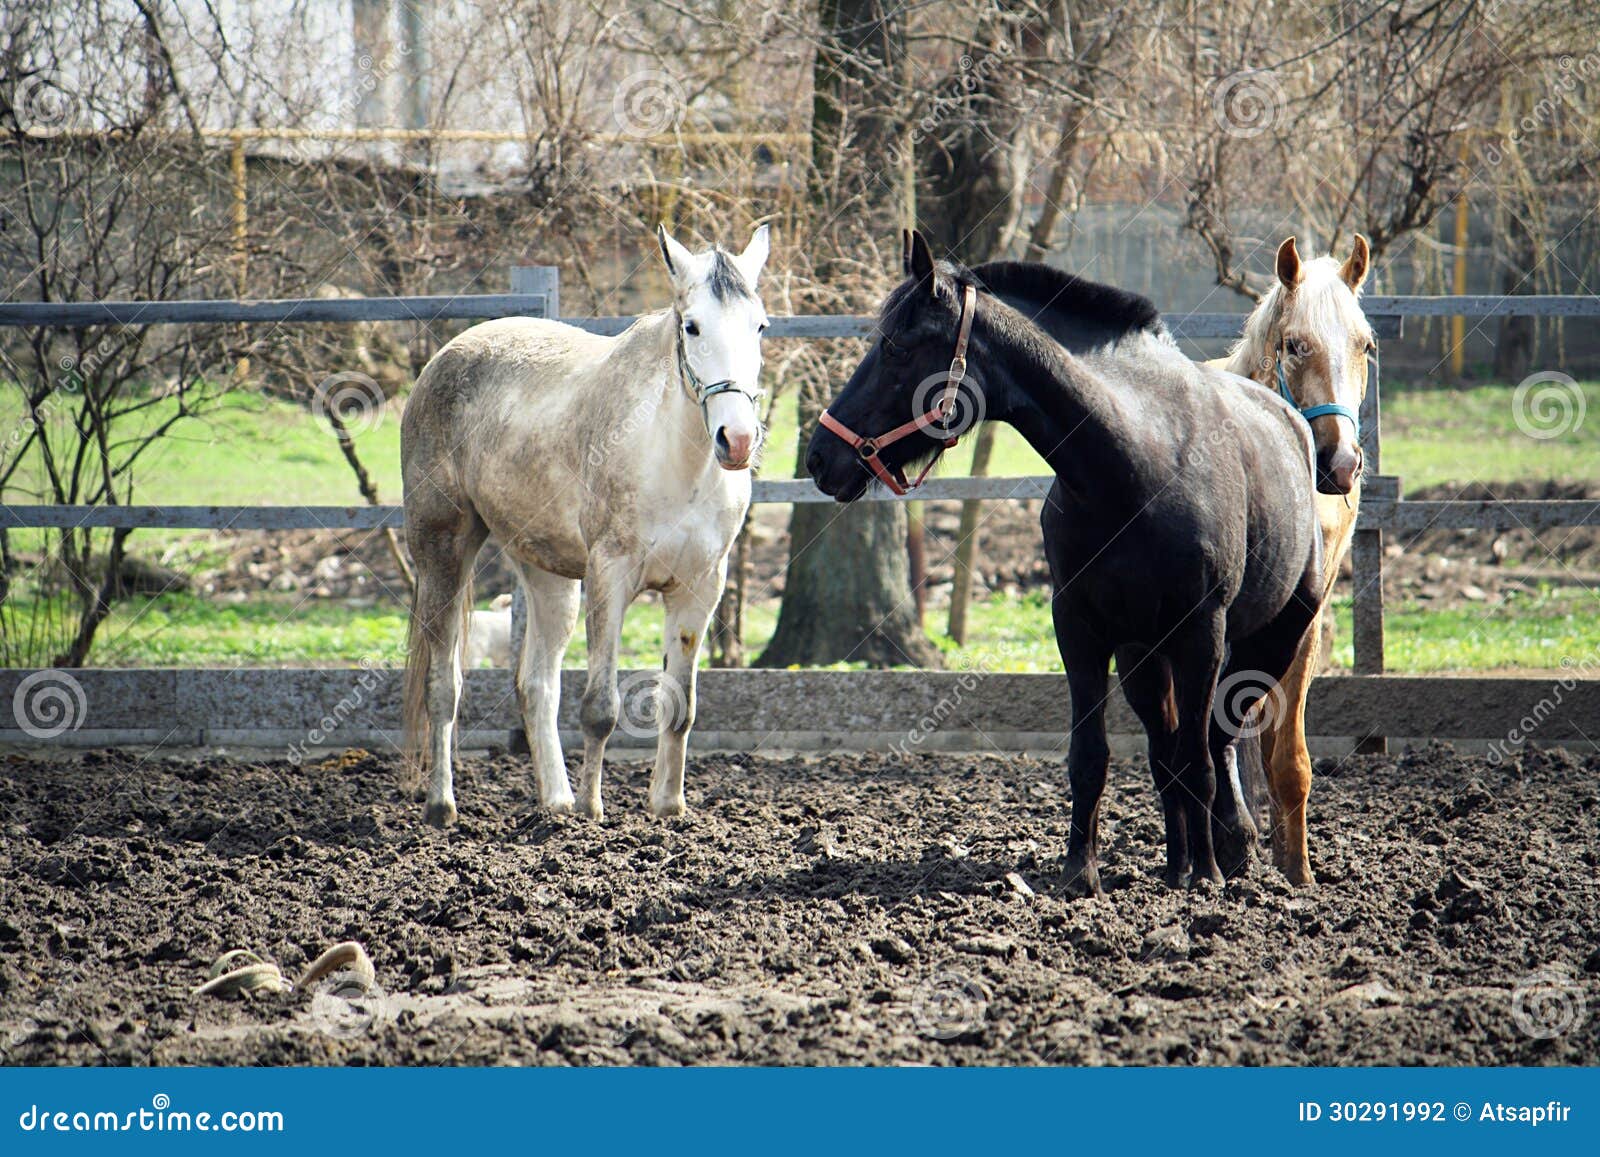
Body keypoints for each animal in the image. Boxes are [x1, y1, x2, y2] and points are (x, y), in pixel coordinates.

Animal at [401, 222, 771, 827]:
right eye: (692, 326)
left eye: (759, 326)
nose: (736, 440)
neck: (675, 460)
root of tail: (445, 359)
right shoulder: (610, 576)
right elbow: (600, 708)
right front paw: (594, 811)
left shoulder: (699, 589)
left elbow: (681, 708)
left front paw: (667, 808)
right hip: (443, 553)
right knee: (443, 688)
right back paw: (443, 806)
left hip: (547, 574)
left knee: (536, 685)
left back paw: (554, 802)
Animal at [806, 230, 1325, 893]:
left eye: (896, 345)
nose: (820, 457)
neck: (1135, 462)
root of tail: (1291, 420)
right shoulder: (1079, 627)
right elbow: (1092, 757)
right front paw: (1082, 872)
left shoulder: (1201, 631)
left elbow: (1199, 757)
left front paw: (1209, 874)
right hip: (1142, 657)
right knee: (1168, 752)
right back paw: (1177, 864)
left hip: (1272, 637)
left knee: (1214, 739)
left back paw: (1222, 853)